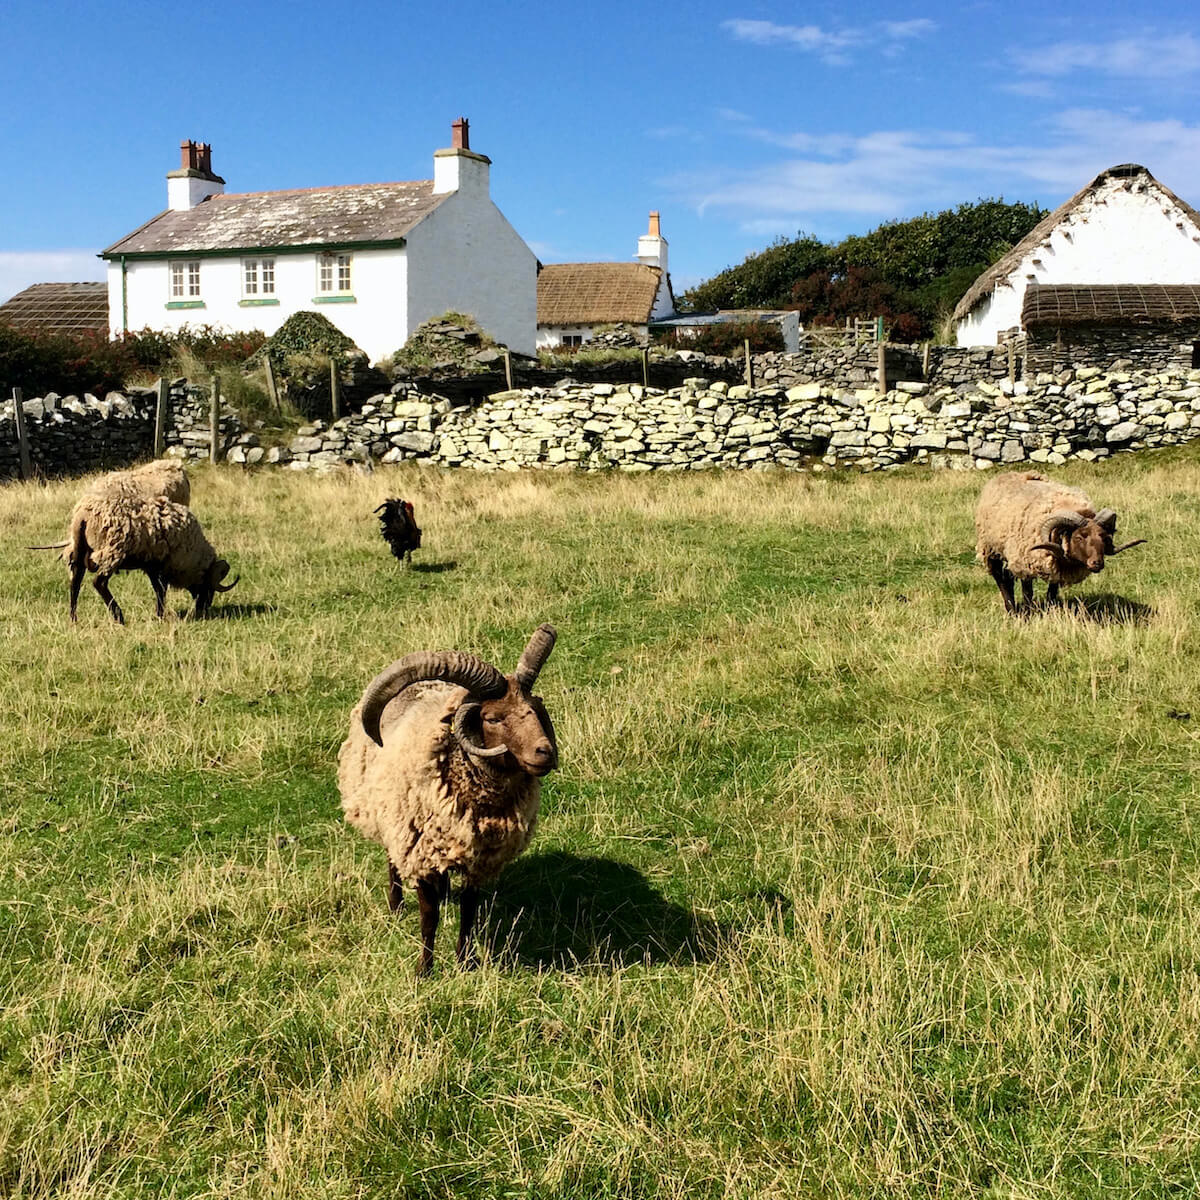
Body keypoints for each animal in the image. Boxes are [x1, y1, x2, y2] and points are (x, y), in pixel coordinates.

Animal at [65, 491, 238, 623]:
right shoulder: (164, 565)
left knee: (75, 583)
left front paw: (159, 614)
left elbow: (158, 589)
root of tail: (83, 515)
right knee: (99, 583)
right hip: (113, 550)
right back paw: (119, 617)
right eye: (208, 586)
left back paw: (74, 618)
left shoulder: (152, 565)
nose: (204, 608)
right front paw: (160, 615)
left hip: (80, 549)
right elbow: (161, 590)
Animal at [338, 624, 558, 975]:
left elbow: (468, 911)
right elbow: (429, 918)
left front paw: (465, 961)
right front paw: (425, 970)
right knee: (392, 861)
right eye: (493, 718)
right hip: (393, 821)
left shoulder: (479, 861)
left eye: (534, 710)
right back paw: (395, 906)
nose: (545, 753)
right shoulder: (421, 855)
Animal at [975, 471, 1145, 612]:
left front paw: (1051, 610)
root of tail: (1007, 474)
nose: (1097, 563)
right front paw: (1028, 614)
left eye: (1103, 537)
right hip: (991, 550)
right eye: (1079, 537)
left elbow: (1052, 592)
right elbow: (1028, 592)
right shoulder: (1024, 564)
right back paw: (1011, 609)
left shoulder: (1057, 567)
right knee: (1001, 580)